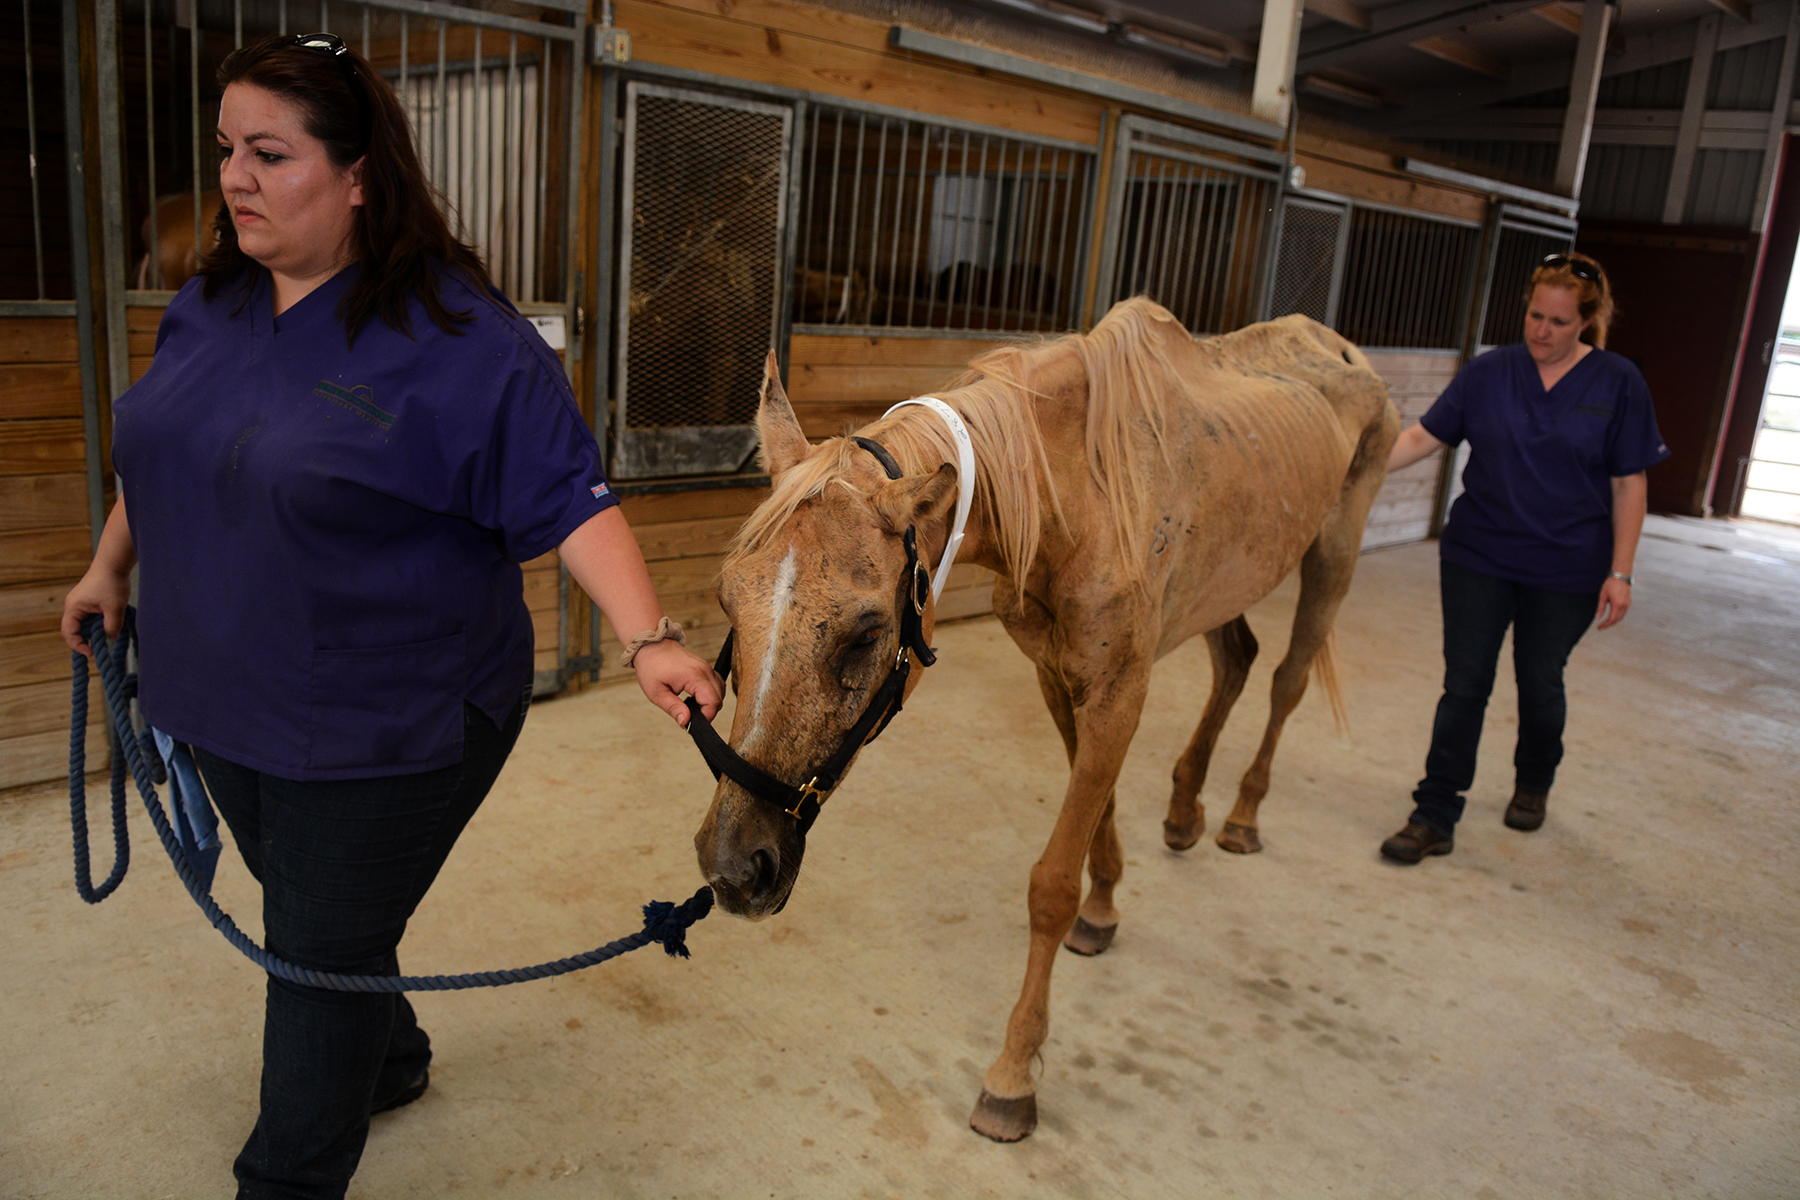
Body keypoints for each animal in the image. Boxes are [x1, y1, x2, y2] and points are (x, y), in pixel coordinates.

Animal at [691, 296, 1398, 1142]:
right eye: (729, 599)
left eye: (866, 633)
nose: (735, 870)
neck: (1079, 492)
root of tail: (1343, 351)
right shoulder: (1060, 677)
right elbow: (1098, 812)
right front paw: (1106, 904)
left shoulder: (1120, 690)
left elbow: (1051, 884)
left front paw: (1012, 1075)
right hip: (1233, 577)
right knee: (1236, 663)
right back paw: (1186, 811)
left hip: (1334, 554)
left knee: (1288, 680)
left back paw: (1241, 817)